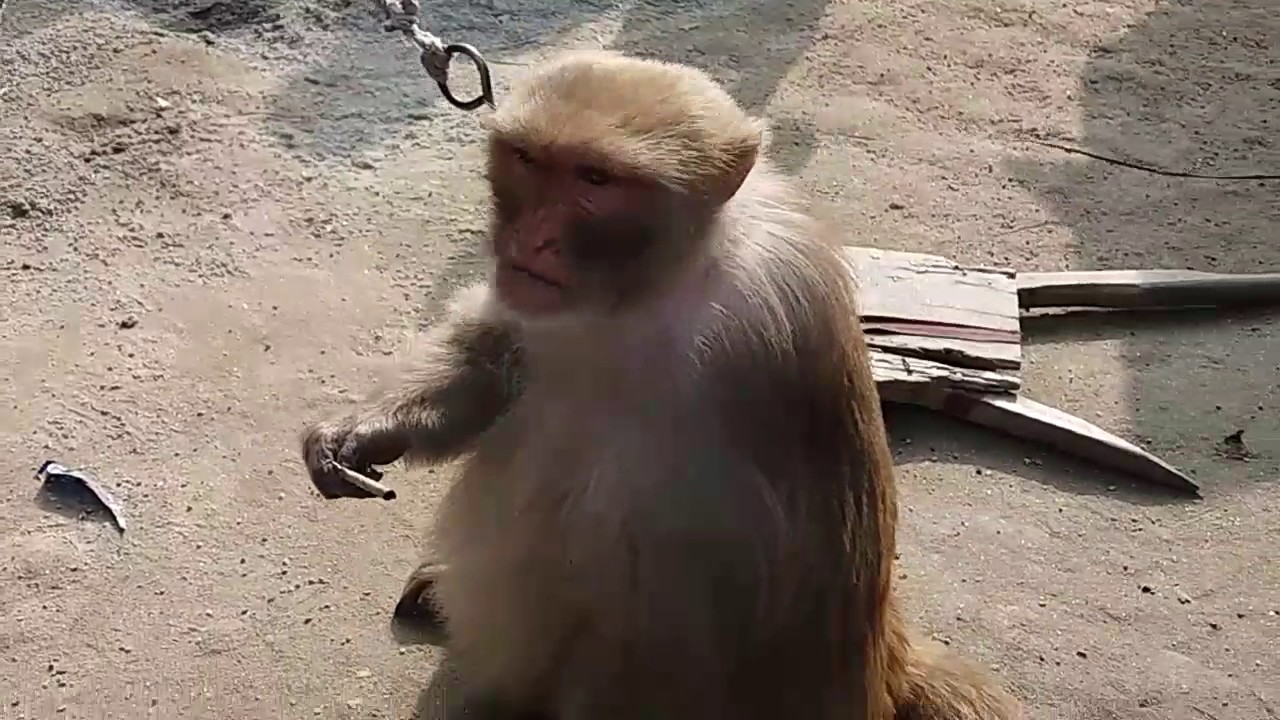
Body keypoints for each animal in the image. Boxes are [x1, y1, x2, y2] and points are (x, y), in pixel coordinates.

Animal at [302, 50, 1021, 720]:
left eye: (595, 178)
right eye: (529, 160)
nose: (531, 238)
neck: (647, 289)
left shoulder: (771, 325)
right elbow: (495, 354)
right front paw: (359, 432)